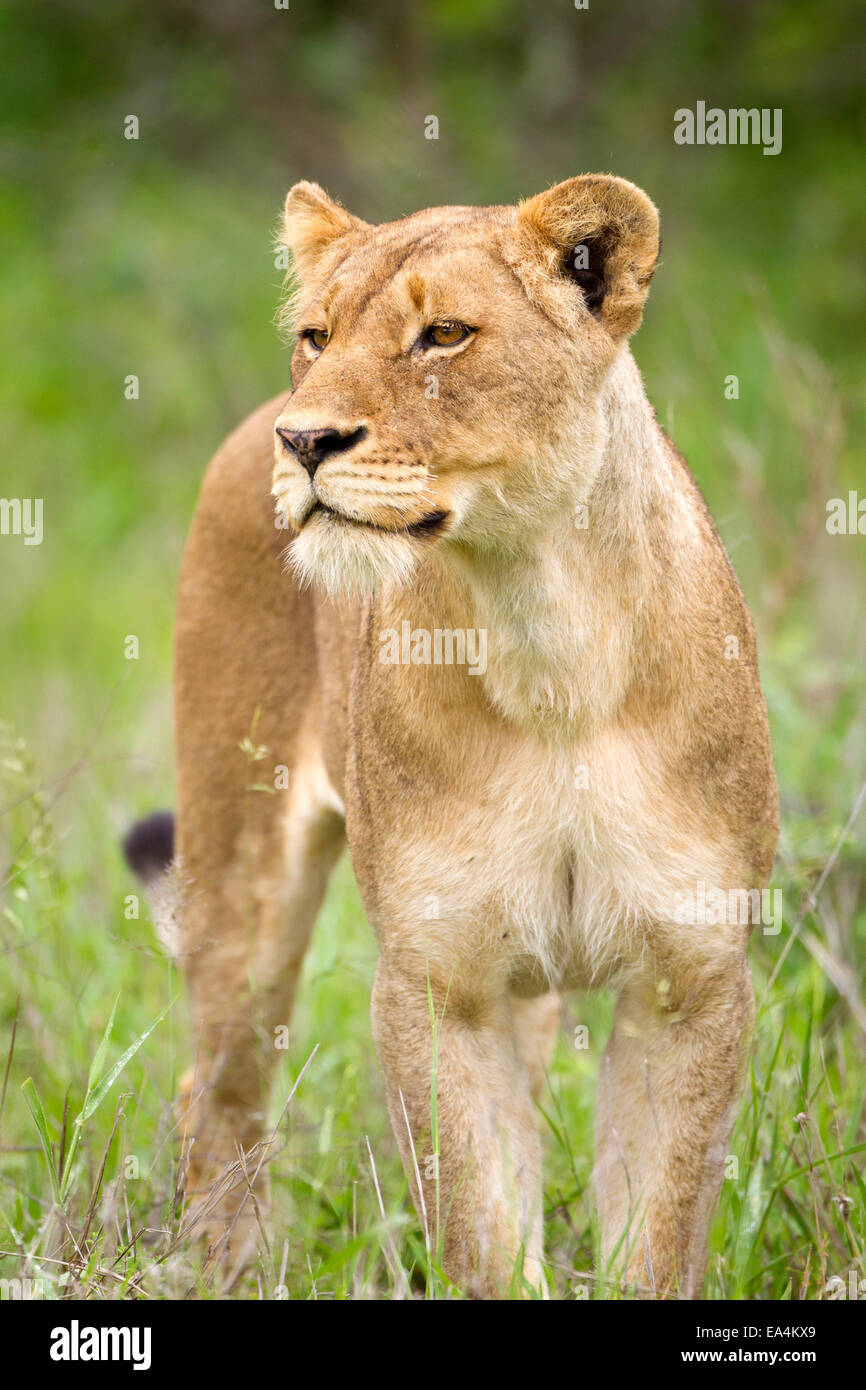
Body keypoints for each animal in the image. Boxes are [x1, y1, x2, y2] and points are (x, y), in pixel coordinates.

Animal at [125, 174, 778, 1298]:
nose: (304, 441)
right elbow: (480, 1227)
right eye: (314, 335)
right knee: (215, 1096)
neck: (547, 637)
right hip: (241, 887)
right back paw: (227, 1266)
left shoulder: (688, 979)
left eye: (443, 335)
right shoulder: (437, 982)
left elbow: (653, 1233)